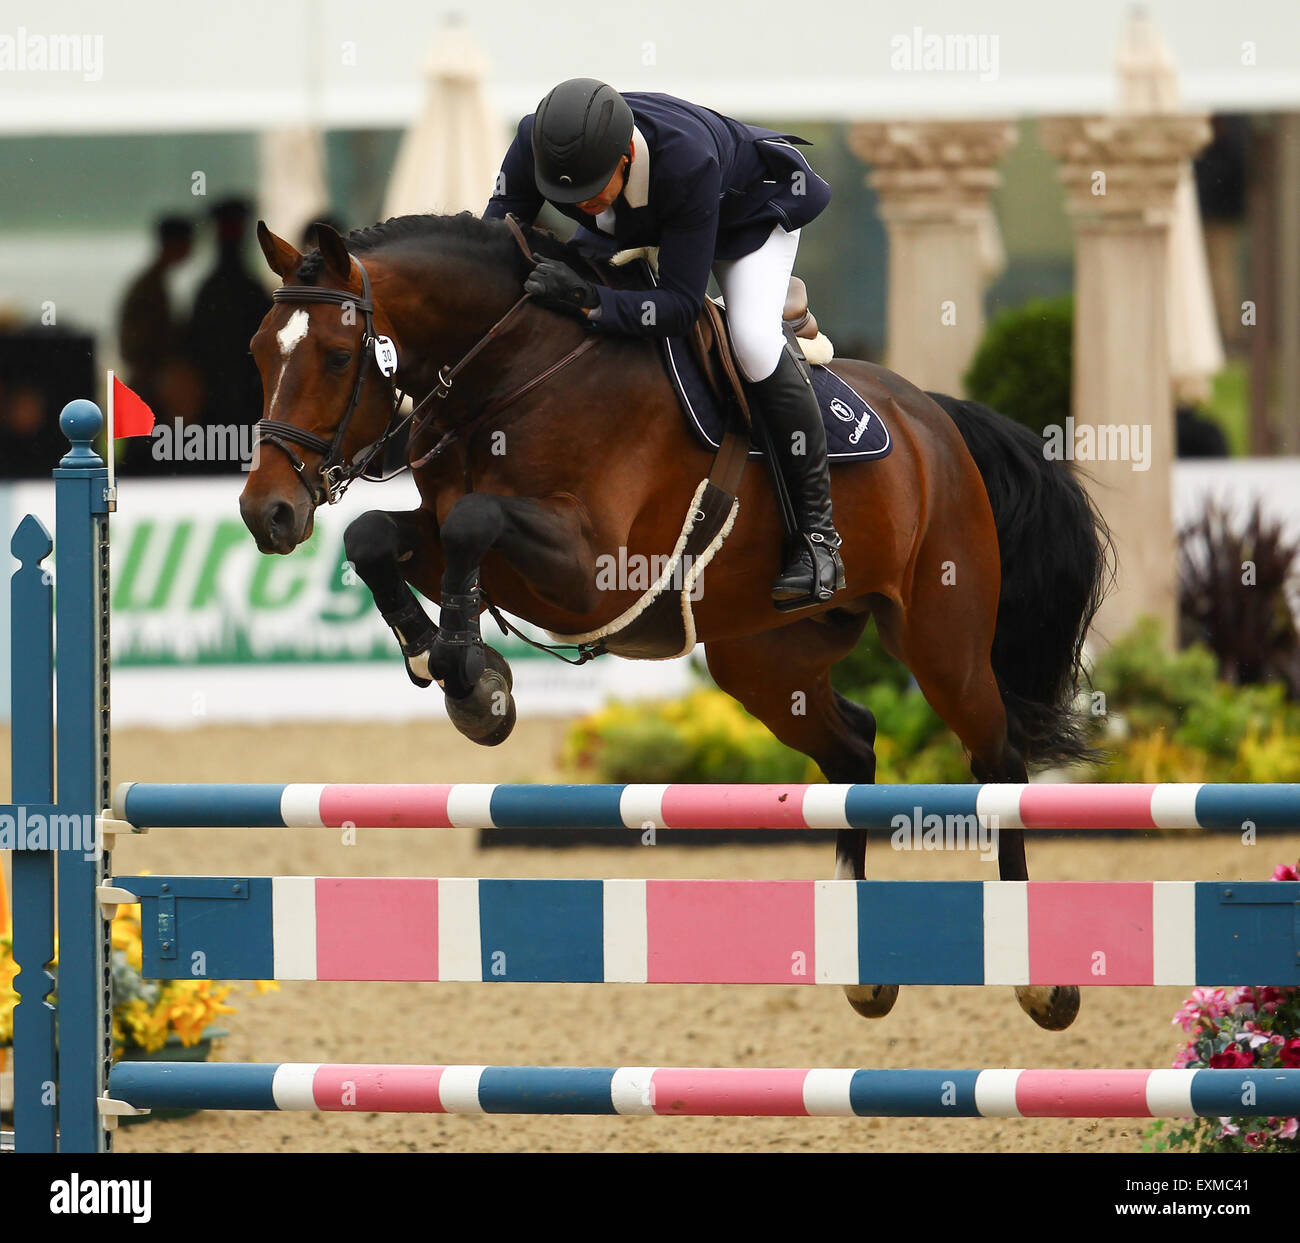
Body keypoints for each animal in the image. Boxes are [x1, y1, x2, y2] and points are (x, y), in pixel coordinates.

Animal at [240, 212, 1111, 1031]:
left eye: (337, 357)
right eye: (256, 353)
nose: (266, 513)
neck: (510, 373)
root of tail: (937, 417)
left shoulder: (589, 570)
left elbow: (471, 523)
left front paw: (470, 676)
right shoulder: (471, 541)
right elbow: (376, 535)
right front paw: (458, 672)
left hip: (941, 639)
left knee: (997, 759)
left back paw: (1040, 982)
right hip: (762, 660)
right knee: (855, 744)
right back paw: (859, 966)